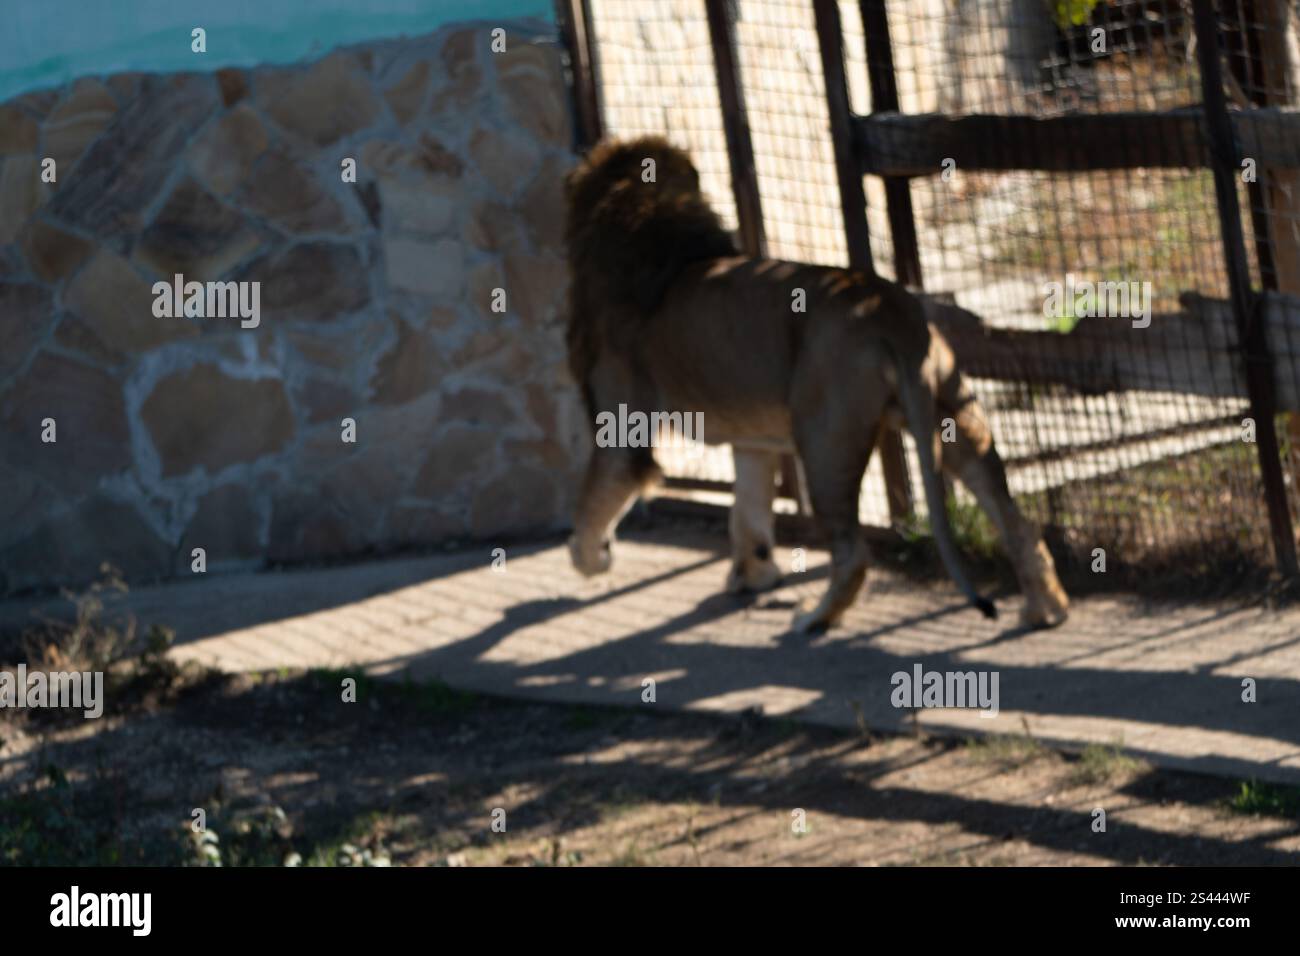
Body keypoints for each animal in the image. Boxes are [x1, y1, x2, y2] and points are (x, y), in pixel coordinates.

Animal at [563, 135, 1069, 632]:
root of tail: (885, 305)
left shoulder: (622, 434)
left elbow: (589, 512)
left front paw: (597, 557)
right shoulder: (752, 442)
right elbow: (746, 510)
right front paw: (752, 574)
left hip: (823, 441)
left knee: (854, 553)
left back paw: (813, 619)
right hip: (955, 414)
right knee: (1017, 521)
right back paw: (1045, 609)